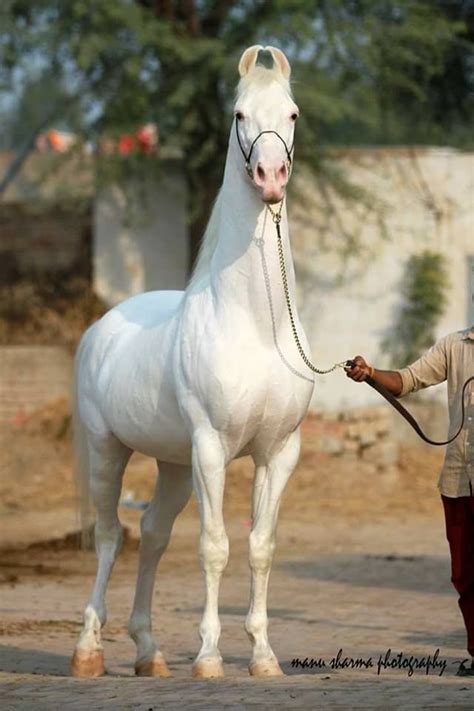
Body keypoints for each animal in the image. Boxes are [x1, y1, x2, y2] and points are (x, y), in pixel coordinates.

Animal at [71, 44, 314, 680]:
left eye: (293, 114)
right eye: (238, 114)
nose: (271, 179)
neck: (255, 327)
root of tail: (101, 328)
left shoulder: (278, 452)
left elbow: (259, 548)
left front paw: (263, 656)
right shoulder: (211, 448)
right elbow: (215, 547)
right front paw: (208, 657)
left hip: (174, 465)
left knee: (153, 535)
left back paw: (149, 652)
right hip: (110, 451)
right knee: (110, 537)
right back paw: (88, 650)